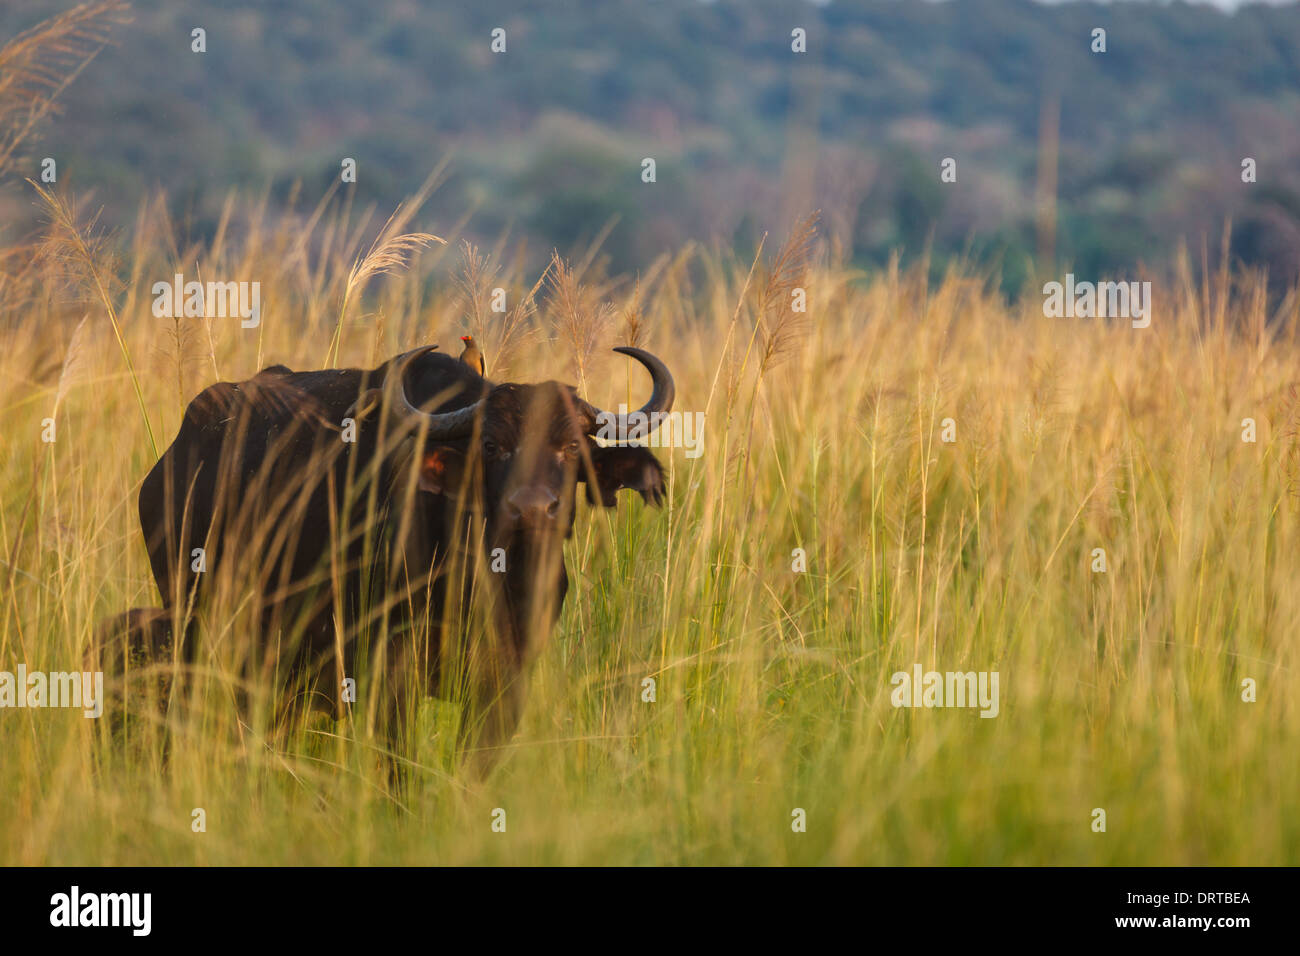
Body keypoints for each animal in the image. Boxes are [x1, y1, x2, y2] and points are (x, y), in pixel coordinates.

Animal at [93, 344, 674, 776]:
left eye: (572, 446)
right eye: (491, 445)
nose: (531, 509)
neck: (482, 576)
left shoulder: (505, 685)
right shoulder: (385, 677)